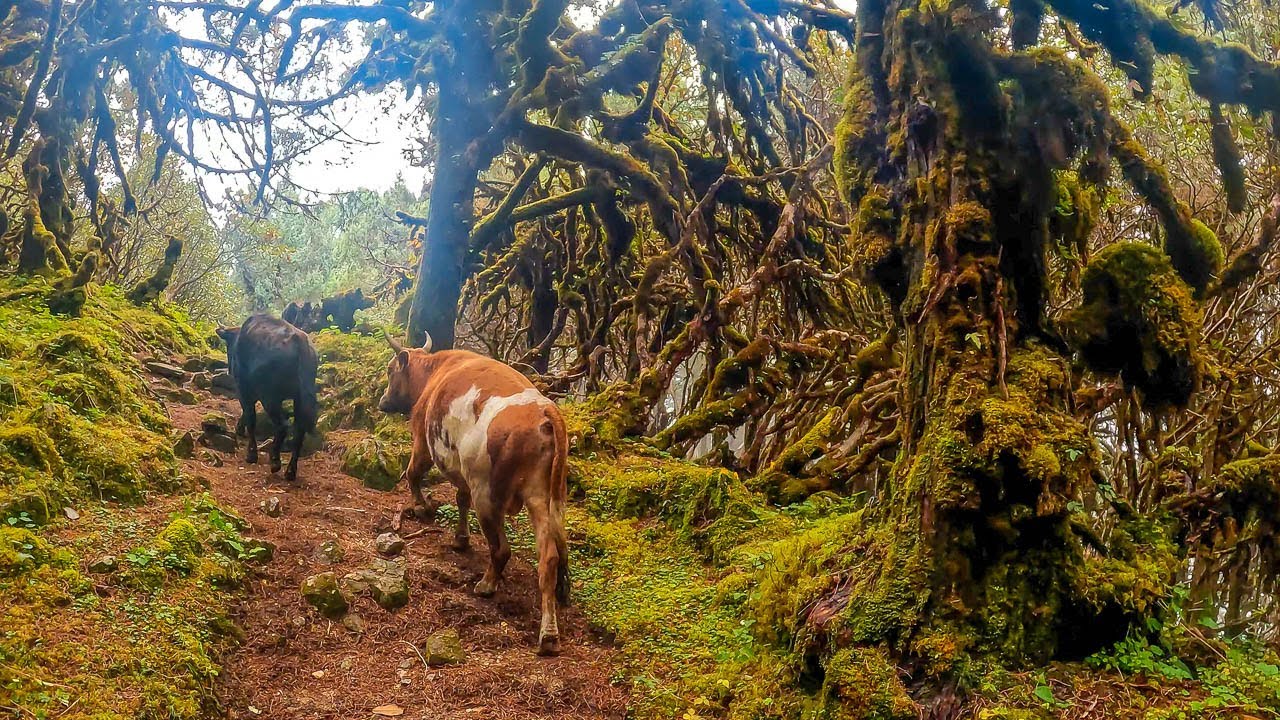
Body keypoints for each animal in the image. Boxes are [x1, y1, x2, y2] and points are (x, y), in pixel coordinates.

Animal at [215, 315, 319, 482]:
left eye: (228, 346)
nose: (229, 368)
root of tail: (300, 343)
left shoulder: (244, 388)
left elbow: (250, 417)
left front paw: (251, 454)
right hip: (301, 398)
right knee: (299, 431)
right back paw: (290, 471)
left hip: (270, 397)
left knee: (282, 425)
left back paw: (275, 461)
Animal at [377, 331, 570, 656]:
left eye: (391, 371)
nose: (383, 401)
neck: (434, 373)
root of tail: (544, 409)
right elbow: (460, 498)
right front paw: (460, 537)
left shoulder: (423, 442)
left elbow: (413, 474)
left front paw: (421, 507)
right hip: (543, 498)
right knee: (551, 556)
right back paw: (550, 631)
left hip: (488, 495)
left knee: (501, 549)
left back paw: (487, 585)